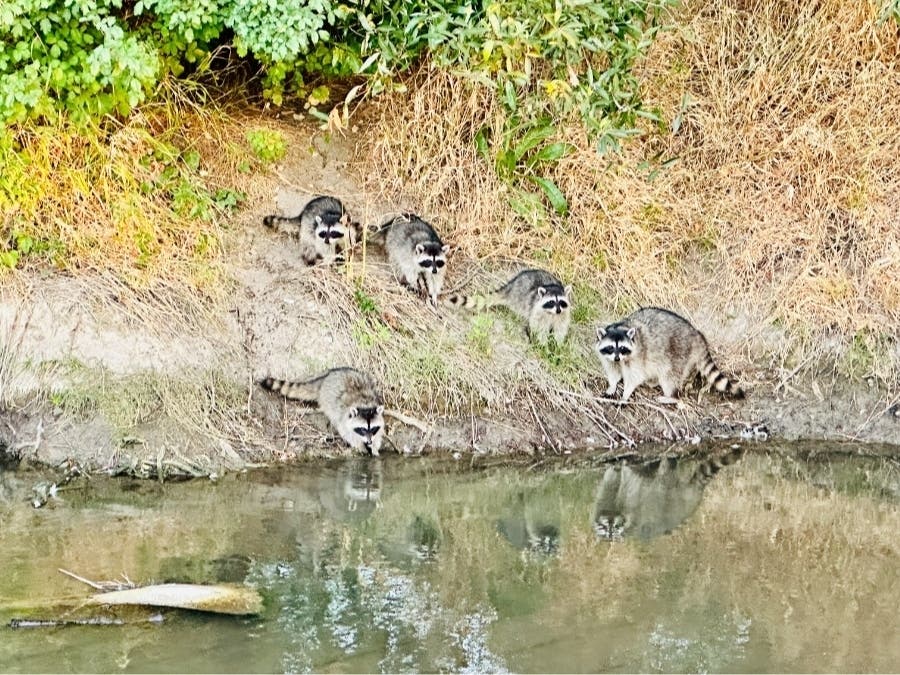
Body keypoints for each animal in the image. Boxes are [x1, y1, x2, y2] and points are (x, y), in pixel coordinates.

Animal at [593, 448, 743, 541]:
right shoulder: (606, 498)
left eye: (615, 528)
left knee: (663, 477)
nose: (610, 532)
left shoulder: (630, 499)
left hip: (672, 493)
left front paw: (621, 465)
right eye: (605, 528)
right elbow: (610, 481)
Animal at [595, 307, 744, 402]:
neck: (621, 327)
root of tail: (696, 334)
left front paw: (626, 393)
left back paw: (670, 397)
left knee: (669, 377)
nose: (617, 358)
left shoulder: (637, 355)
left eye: (622, 348)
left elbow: (635, 376)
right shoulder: (609, 358)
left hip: (678, 354)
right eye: (610, 347)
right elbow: (613, 371)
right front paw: (612, 386)